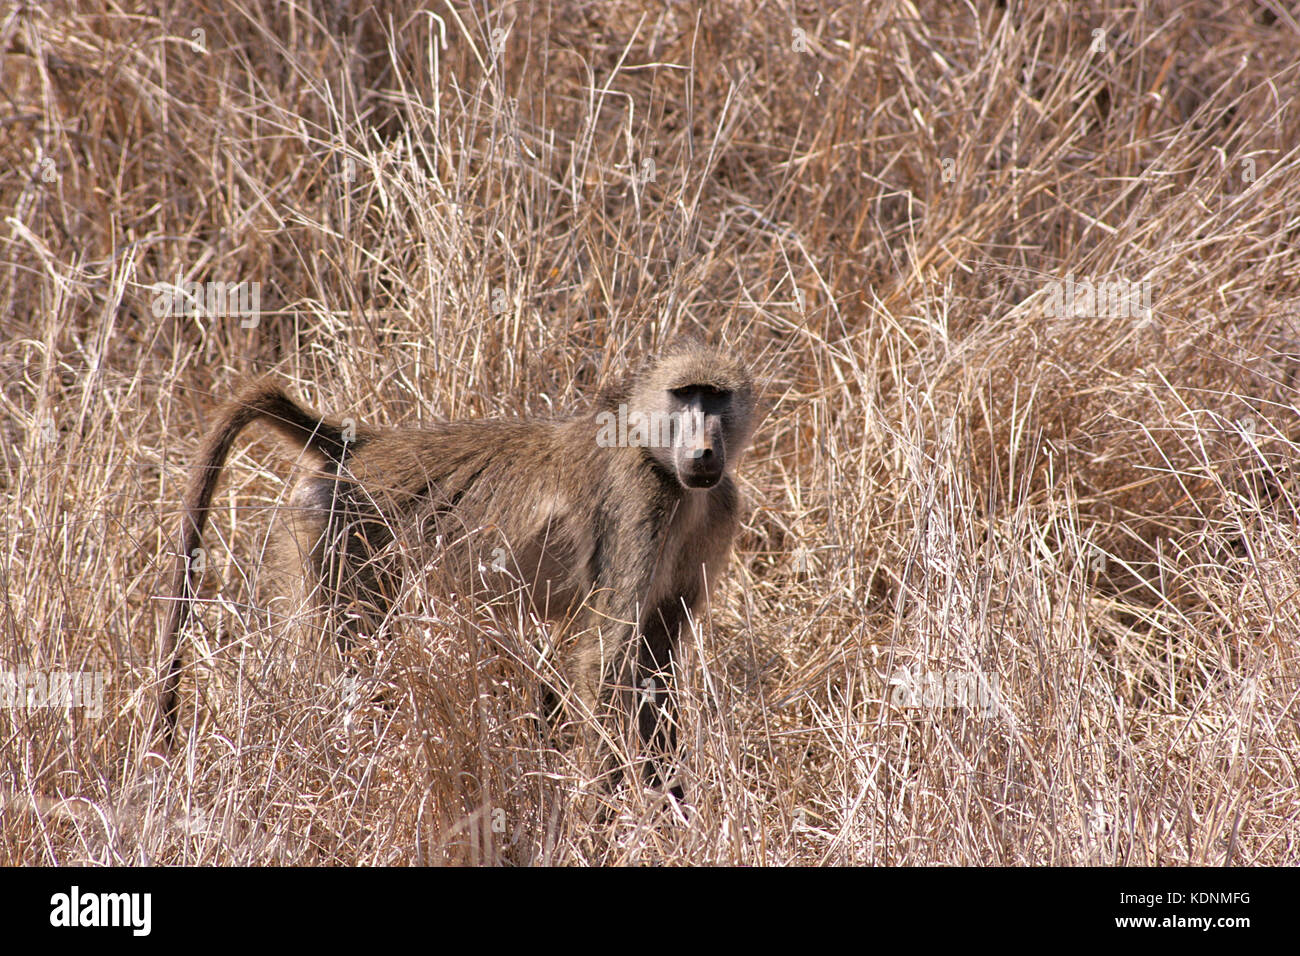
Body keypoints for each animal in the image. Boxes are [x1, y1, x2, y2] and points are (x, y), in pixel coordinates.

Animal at [158, 340, 758, 796]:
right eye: (684, 396)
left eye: (715, 397)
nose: (704, 452)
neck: (667, 468)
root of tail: (360, 447)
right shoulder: (640, 502)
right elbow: (605, 662)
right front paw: (603, 820)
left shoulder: (716, 512)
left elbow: (655, 661)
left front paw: (672, 809)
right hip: (333, 532)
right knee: (353, 661)